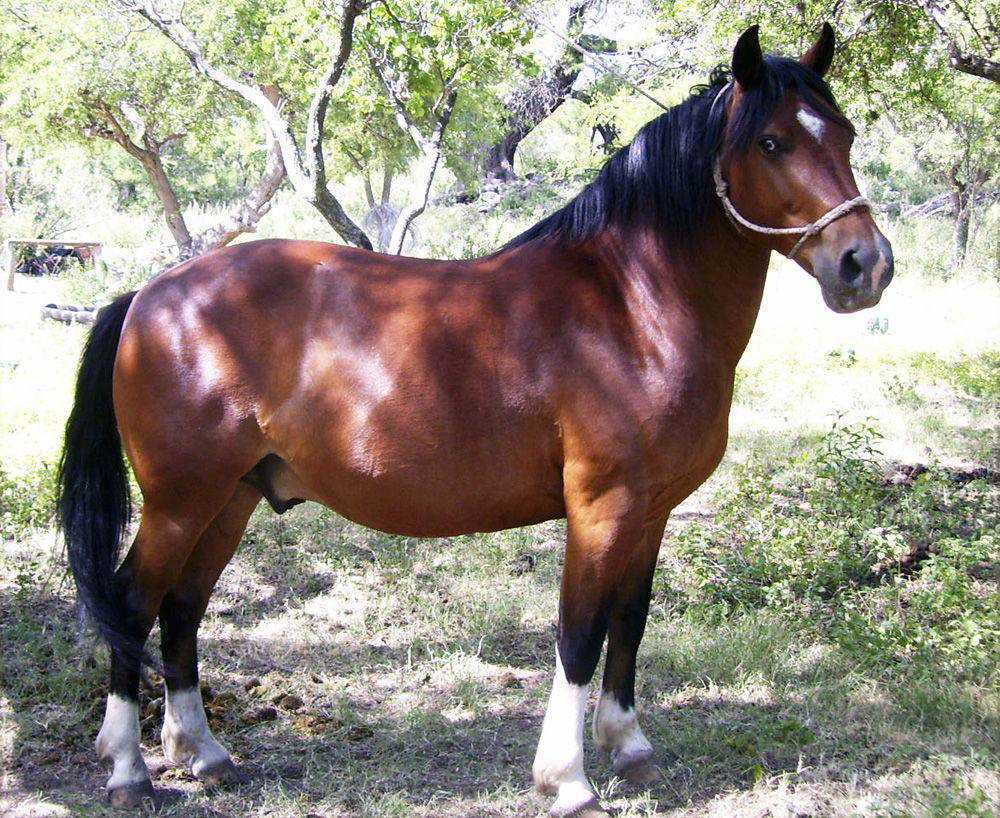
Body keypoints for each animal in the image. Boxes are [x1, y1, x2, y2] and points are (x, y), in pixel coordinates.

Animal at [58, 24, 893, 815]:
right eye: (772, 141)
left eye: (845, 133)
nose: (866, 264)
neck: (632, 304)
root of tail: (149, 293)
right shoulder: (602, 507)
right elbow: (580, 635)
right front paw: (568, 781)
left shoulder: (651, 510)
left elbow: (630, 620)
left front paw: (630, 748)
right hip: (181, 501)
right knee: (132, 603)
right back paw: (130, 770)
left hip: (230, 498)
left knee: (182, 610)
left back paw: (202, 753)